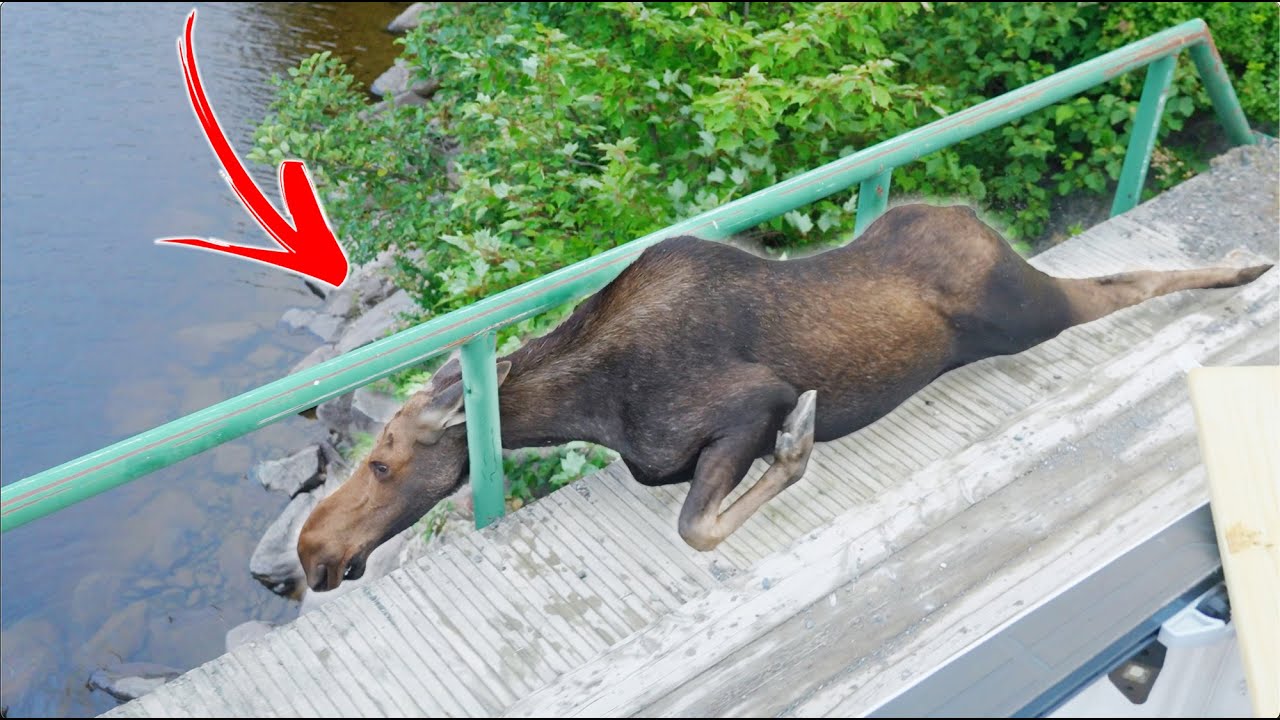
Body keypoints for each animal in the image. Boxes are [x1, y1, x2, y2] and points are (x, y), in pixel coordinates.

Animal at [297, 204, 1272, 591]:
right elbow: (696, 518)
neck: (591, 407)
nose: (310, 553)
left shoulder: (743, 405)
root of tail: (973, 218)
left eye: (382, 464)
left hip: (1025, 312)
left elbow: (699, 524)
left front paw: (801, 441)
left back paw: (1241, 268)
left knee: (1121, 285)